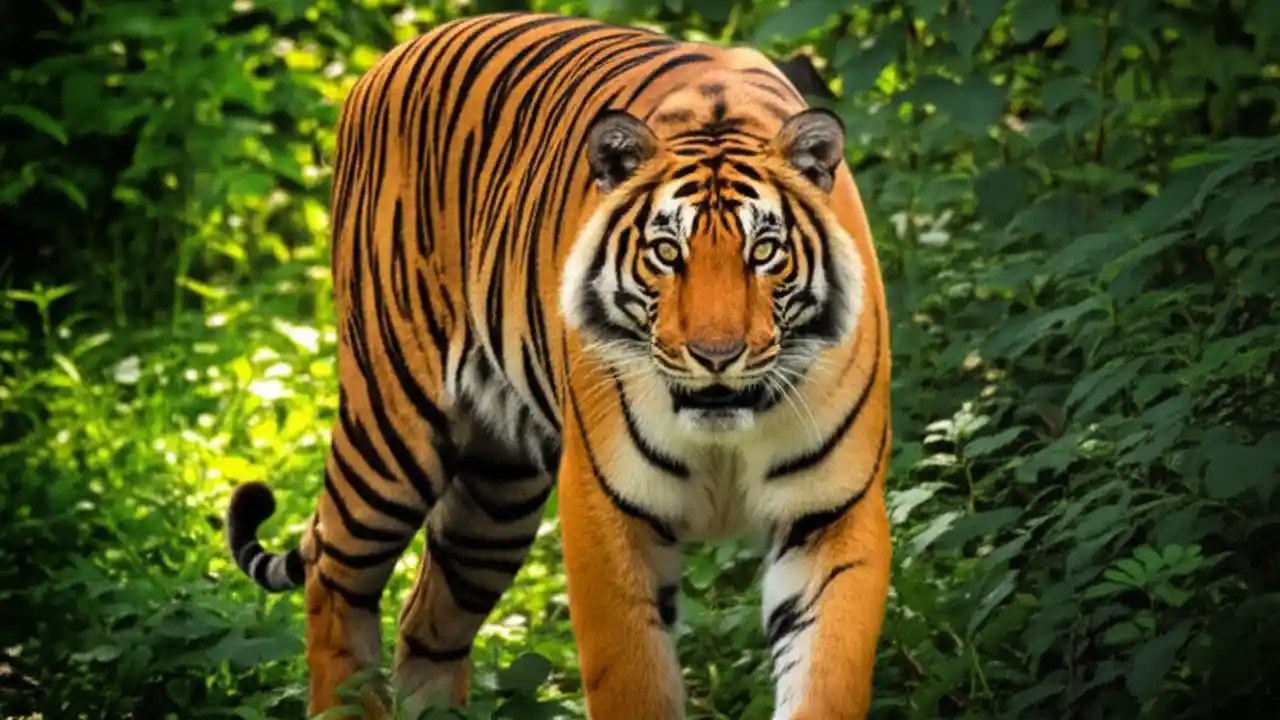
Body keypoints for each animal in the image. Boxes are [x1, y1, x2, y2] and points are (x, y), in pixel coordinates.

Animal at [224, 11, 892, 720]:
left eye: (764, 252)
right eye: (666, 252)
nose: (716, 357)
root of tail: (385, 59)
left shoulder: (832, 514)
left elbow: (825, 677)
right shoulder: (605, 507)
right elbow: (632, 679)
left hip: (495, 497)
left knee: (426, 621)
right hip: (391, 427)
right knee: (333, 572)